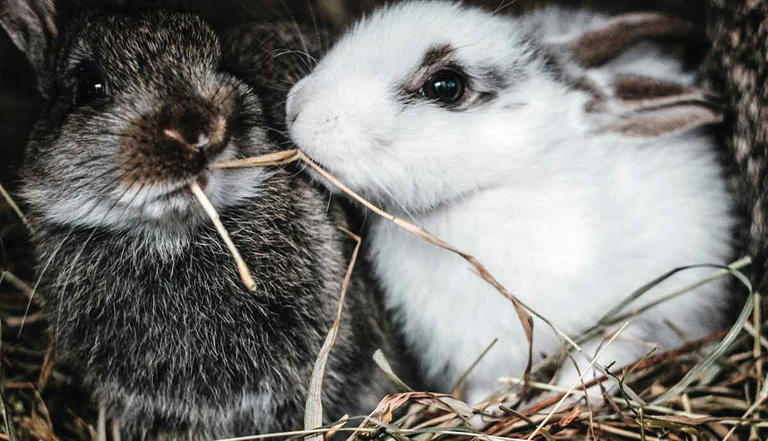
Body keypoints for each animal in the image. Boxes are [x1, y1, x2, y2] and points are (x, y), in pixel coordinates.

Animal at [285, 1, 737, 407]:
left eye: (445, 86)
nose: (296, 107)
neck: (501, 183)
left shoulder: (646, 315)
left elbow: (603, 354)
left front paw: (565, 397)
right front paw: (483, 412)